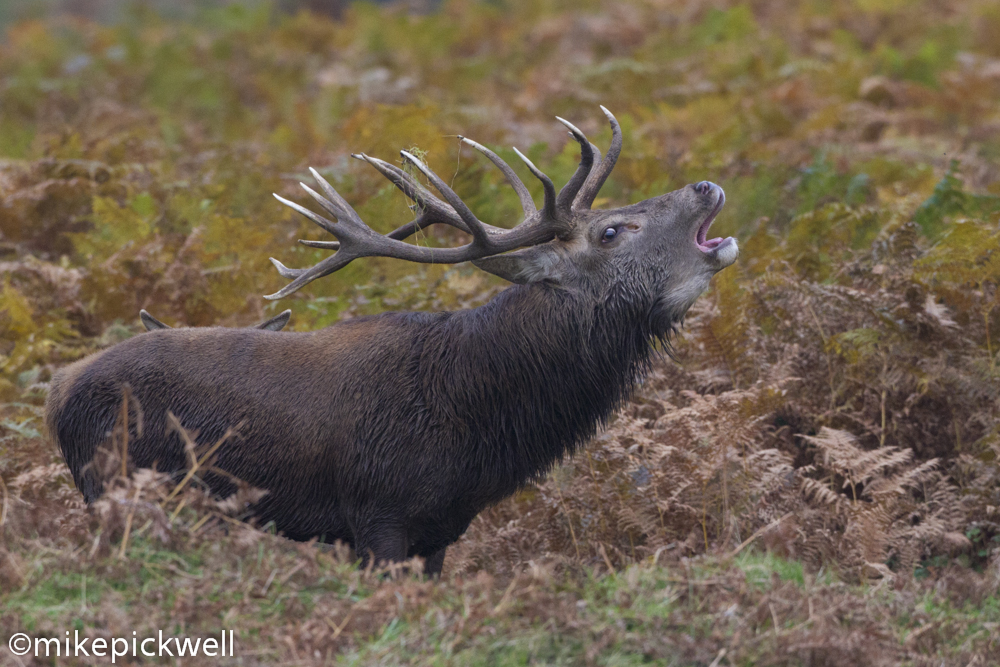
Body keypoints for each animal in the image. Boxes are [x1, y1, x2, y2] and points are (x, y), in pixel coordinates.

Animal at [46, 108, 738, 575]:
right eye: (612, 231)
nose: (705, 185)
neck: (475, 426)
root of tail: (55, 391)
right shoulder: (375, 515)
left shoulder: (439, 531)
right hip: (117, 487)